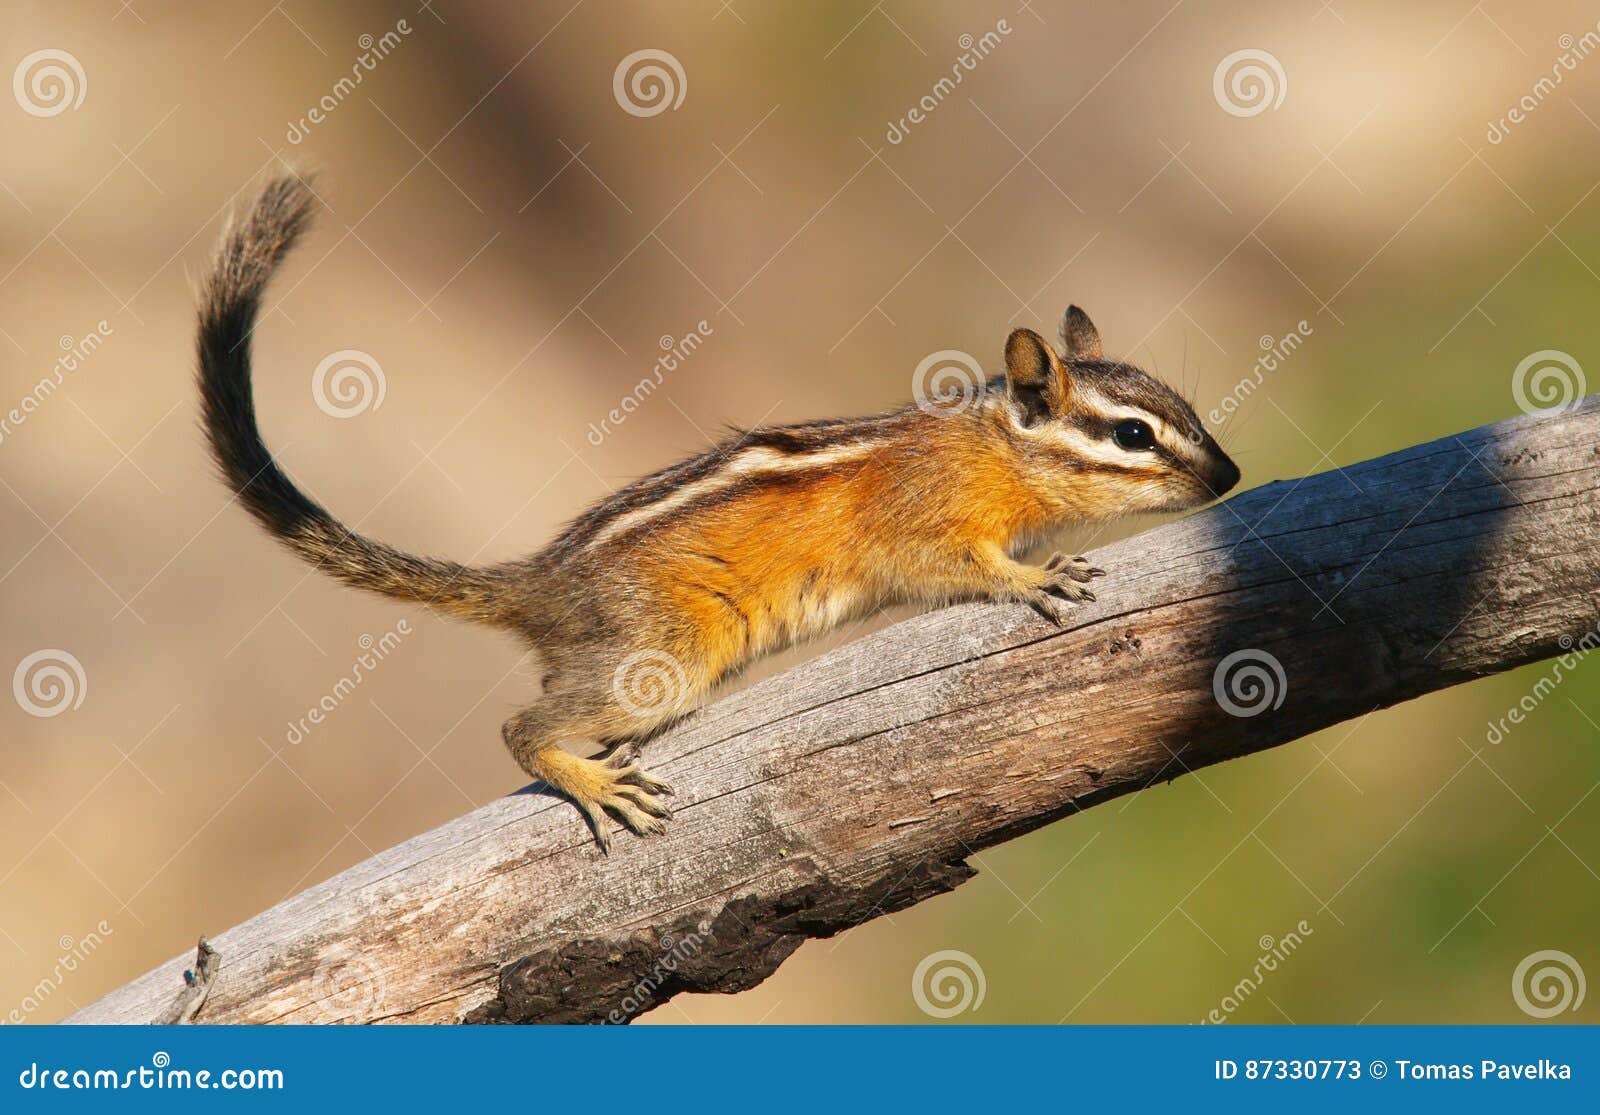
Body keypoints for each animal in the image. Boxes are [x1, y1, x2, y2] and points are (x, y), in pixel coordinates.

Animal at [197, 175, 1241, 851]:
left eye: (1185, 412)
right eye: (1134, 434)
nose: (1229, 475)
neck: (991, 446)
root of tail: (543, 583)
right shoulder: (924, 523)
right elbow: (957, 566)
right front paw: (1035, 574)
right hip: (656, 659)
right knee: (522, 728)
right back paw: (589, 779)